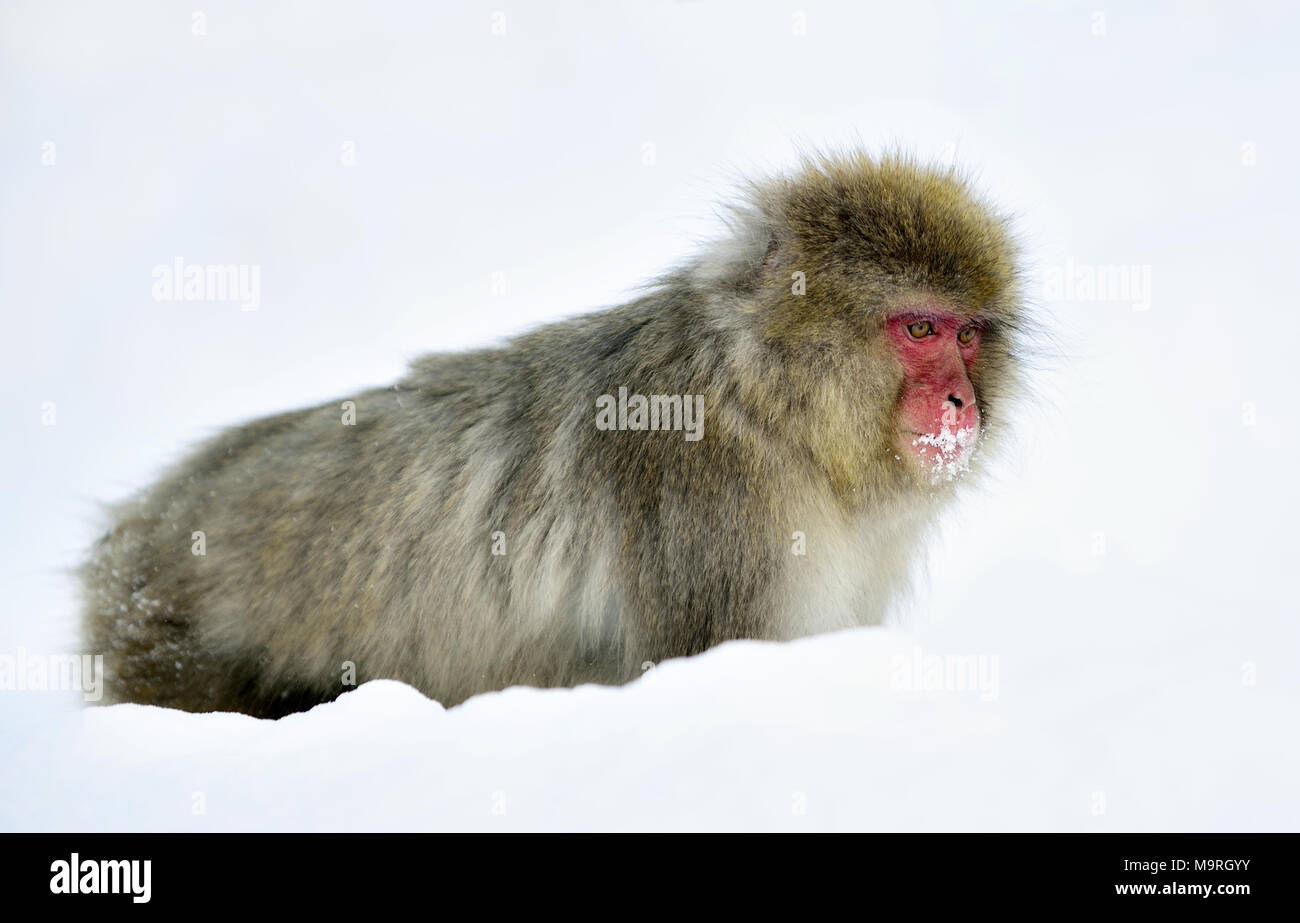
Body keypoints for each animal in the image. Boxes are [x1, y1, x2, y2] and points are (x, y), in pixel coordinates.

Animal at [80, 150, 1024, 718]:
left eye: (970, 335)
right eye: (919, 330)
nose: (960, 402)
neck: (771, 404)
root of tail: (142, 523)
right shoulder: (716, 501)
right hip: (165, 639)